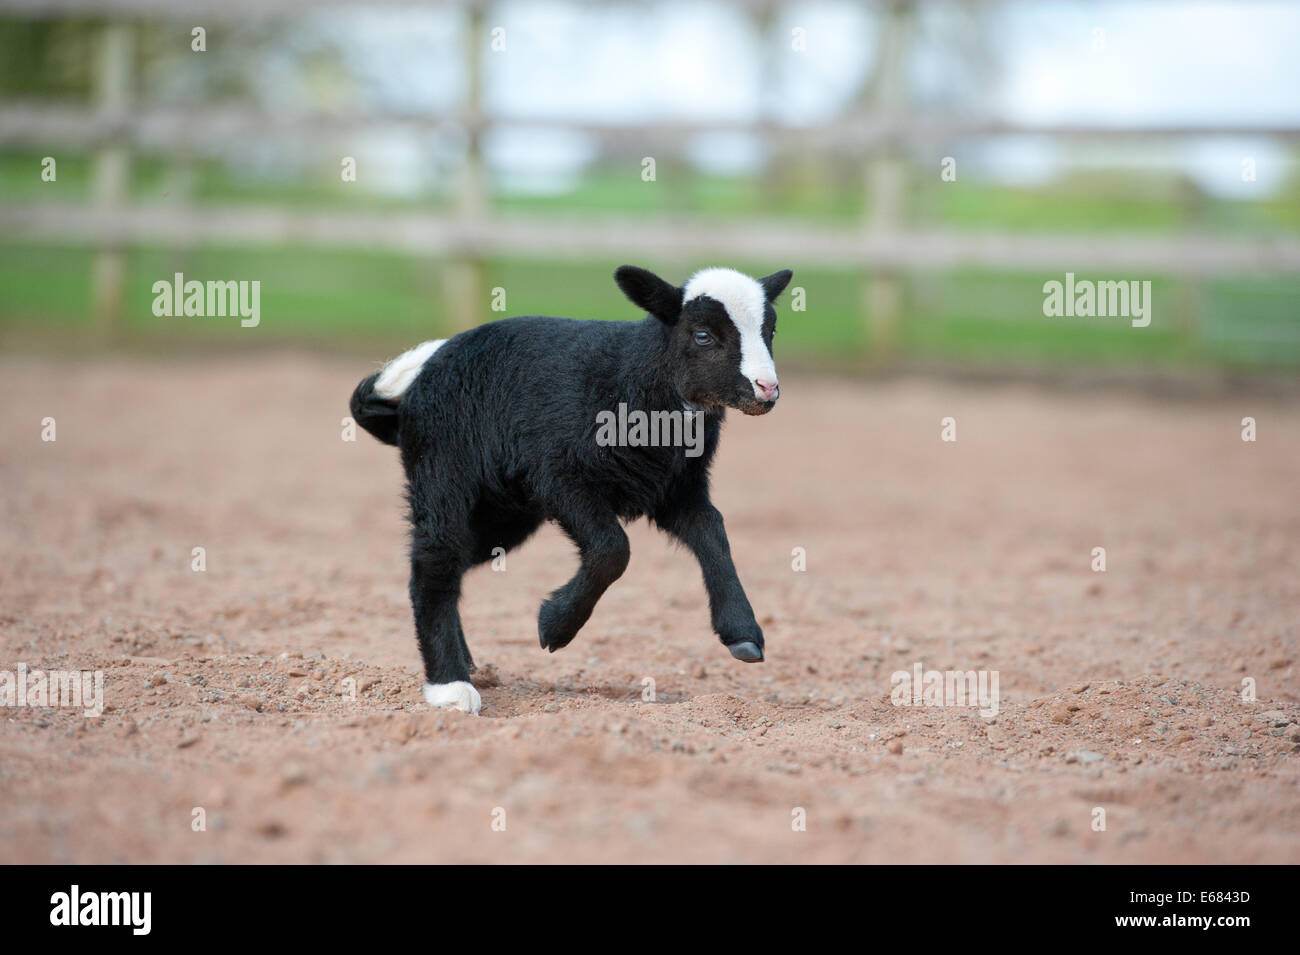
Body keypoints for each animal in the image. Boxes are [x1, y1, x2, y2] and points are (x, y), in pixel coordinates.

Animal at [349, 264, 793, 714]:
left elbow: (713, 534)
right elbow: (613, 549)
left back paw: (468, 665)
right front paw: (554, 626)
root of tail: (412, 393)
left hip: (505, 513)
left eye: (771, 329)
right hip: (443, 474)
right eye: (703, 335)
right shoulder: (559, 476)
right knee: (434, 560)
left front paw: (743, 634)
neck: (633, 379)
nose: (766, 389)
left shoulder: (678, 491)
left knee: (452, 562)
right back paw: (450, 686)